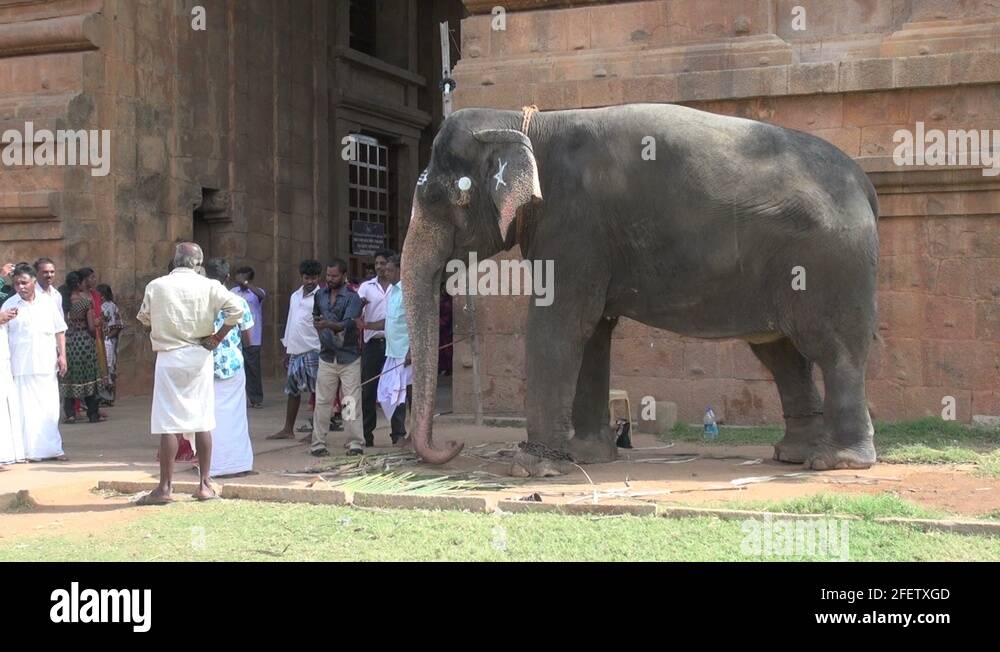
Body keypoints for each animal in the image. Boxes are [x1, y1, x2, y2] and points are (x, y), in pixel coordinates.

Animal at [401, 103, 879, 477]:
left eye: (440, 198)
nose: (453, 446)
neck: (525, 126)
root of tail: (865, 183)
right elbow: (592, 332)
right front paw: (588, 457)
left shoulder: (574, 227)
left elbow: (559, 327)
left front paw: (532, 467)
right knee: (780, 352)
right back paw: (794, 455)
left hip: (831, 261)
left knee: (835, 351)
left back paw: (837, 462)